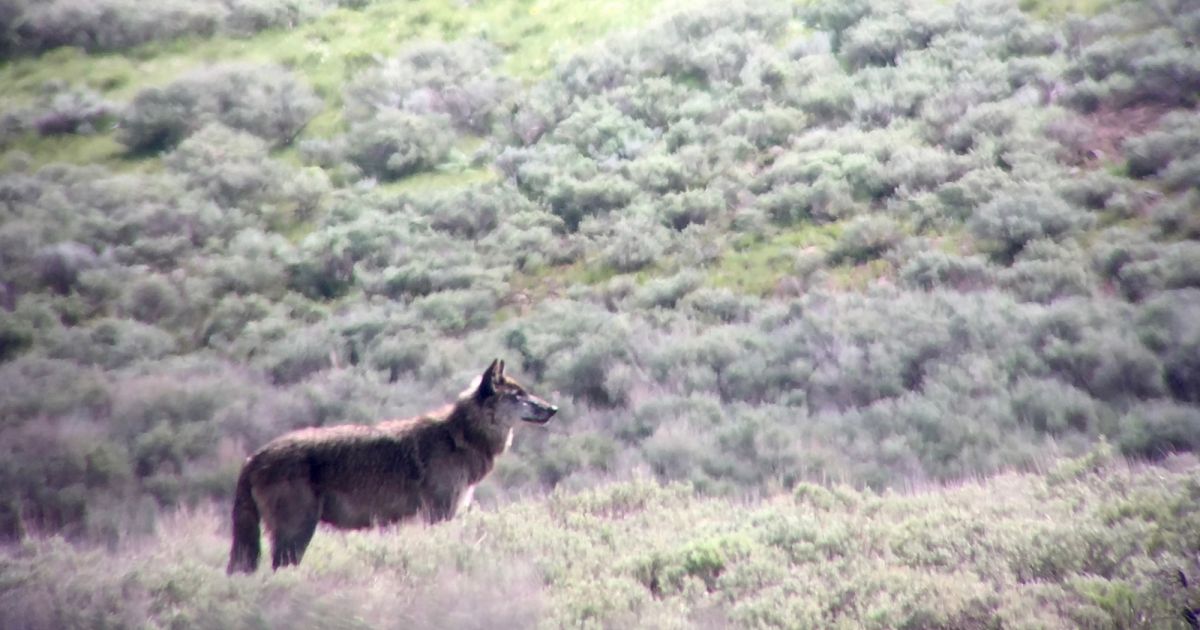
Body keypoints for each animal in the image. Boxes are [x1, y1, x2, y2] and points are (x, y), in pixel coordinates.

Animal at [226, 359, 556, 573]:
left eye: (526, 392)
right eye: (518, 396)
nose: (553, 408)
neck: (460, 436)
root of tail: (252, 458)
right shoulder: (439, 514)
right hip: (296, 532)